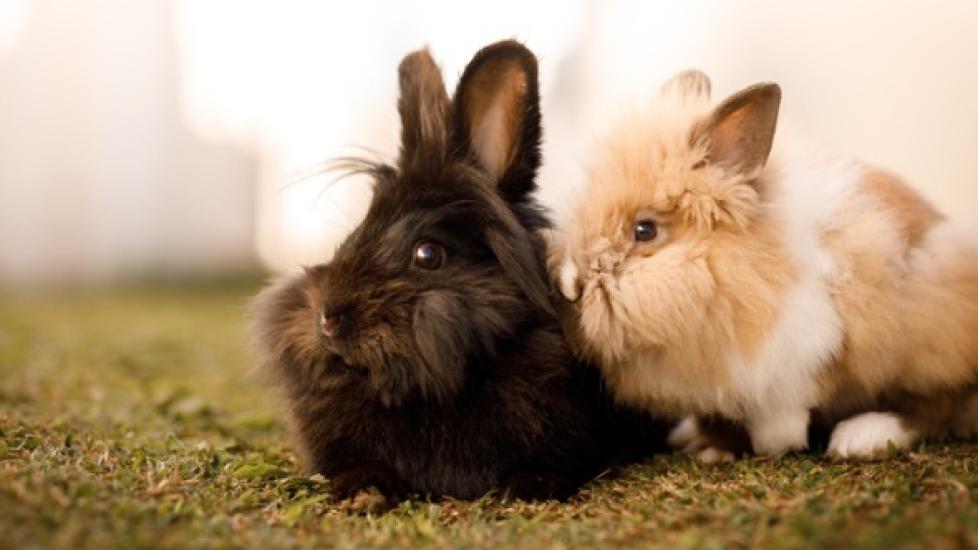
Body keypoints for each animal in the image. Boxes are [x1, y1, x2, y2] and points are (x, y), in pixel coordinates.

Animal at [549, 69, 978, 462]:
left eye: (644, 230)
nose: (570, 285)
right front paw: (709, 447)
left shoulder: (788, 363)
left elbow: (778, 419)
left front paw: (770, 445)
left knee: (933, 408)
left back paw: (860, 438)